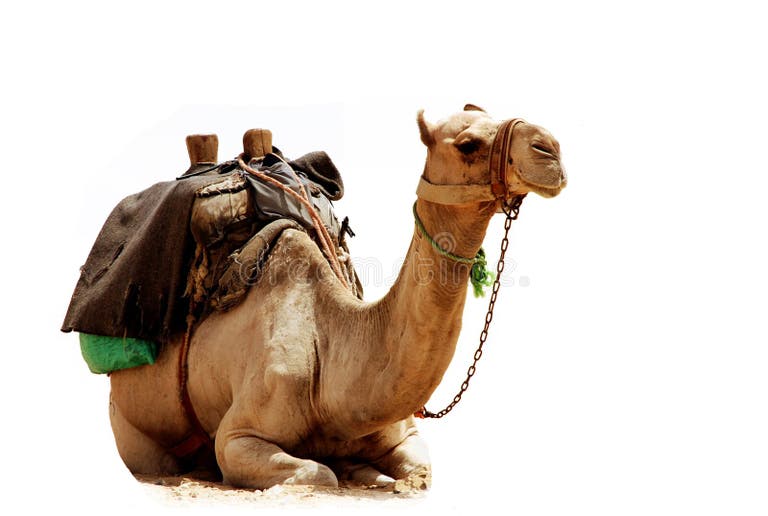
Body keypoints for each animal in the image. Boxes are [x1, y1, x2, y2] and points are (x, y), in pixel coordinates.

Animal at [108, 105, 566, 490]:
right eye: (468, 143)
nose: (550, 149)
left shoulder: (402, 434)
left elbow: (421, 471)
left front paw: (370, 472)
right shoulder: (238, 436)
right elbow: (318, 474)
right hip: (131, 428)